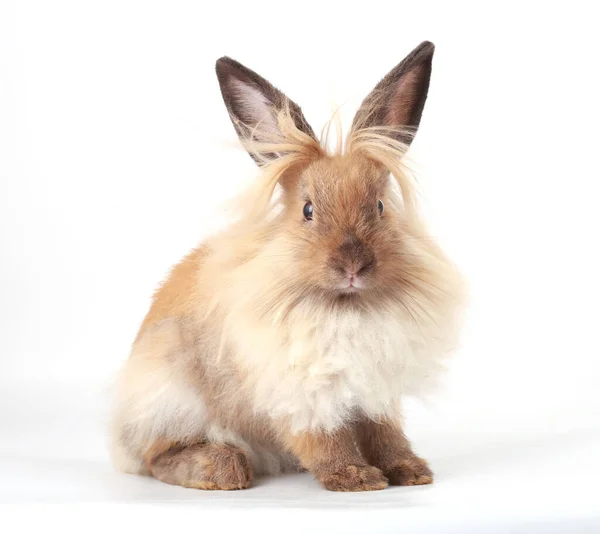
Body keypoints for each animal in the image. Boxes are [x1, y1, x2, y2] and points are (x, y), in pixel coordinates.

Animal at [109, 40, 464, 494]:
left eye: (380, 206)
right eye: (307, 210)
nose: (353, 265)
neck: (347, 308)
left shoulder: (376, 393)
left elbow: (386, 435)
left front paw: (412, 472)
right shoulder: (302, 395)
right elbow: (323, 440)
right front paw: (355, 479)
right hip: (170, 398)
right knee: (158, 458)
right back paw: (223, 468)